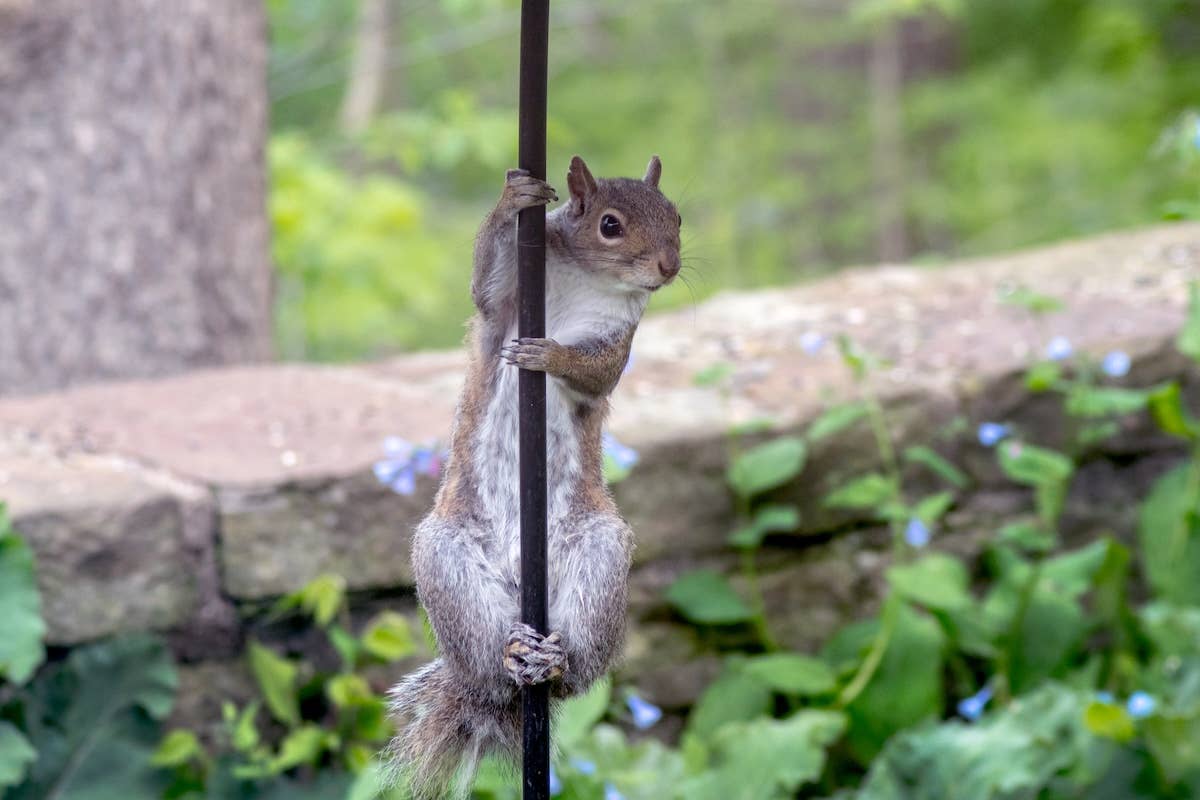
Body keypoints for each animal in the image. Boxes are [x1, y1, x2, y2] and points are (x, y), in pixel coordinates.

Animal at [386, 155, 681, 798]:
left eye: (676, 216)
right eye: (610, 225)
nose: (669, 267)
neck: (592, 278)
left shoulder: (619, 336)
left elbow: (596, 370)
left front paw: (552, 356)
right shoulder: (504, 303)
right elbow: (483, 282)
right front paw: (513, 197)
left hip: (598, 560)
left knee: (576, 670)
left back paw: (556, 662)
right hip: (447, 565)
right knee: (487, 657)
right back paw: (508, 657)